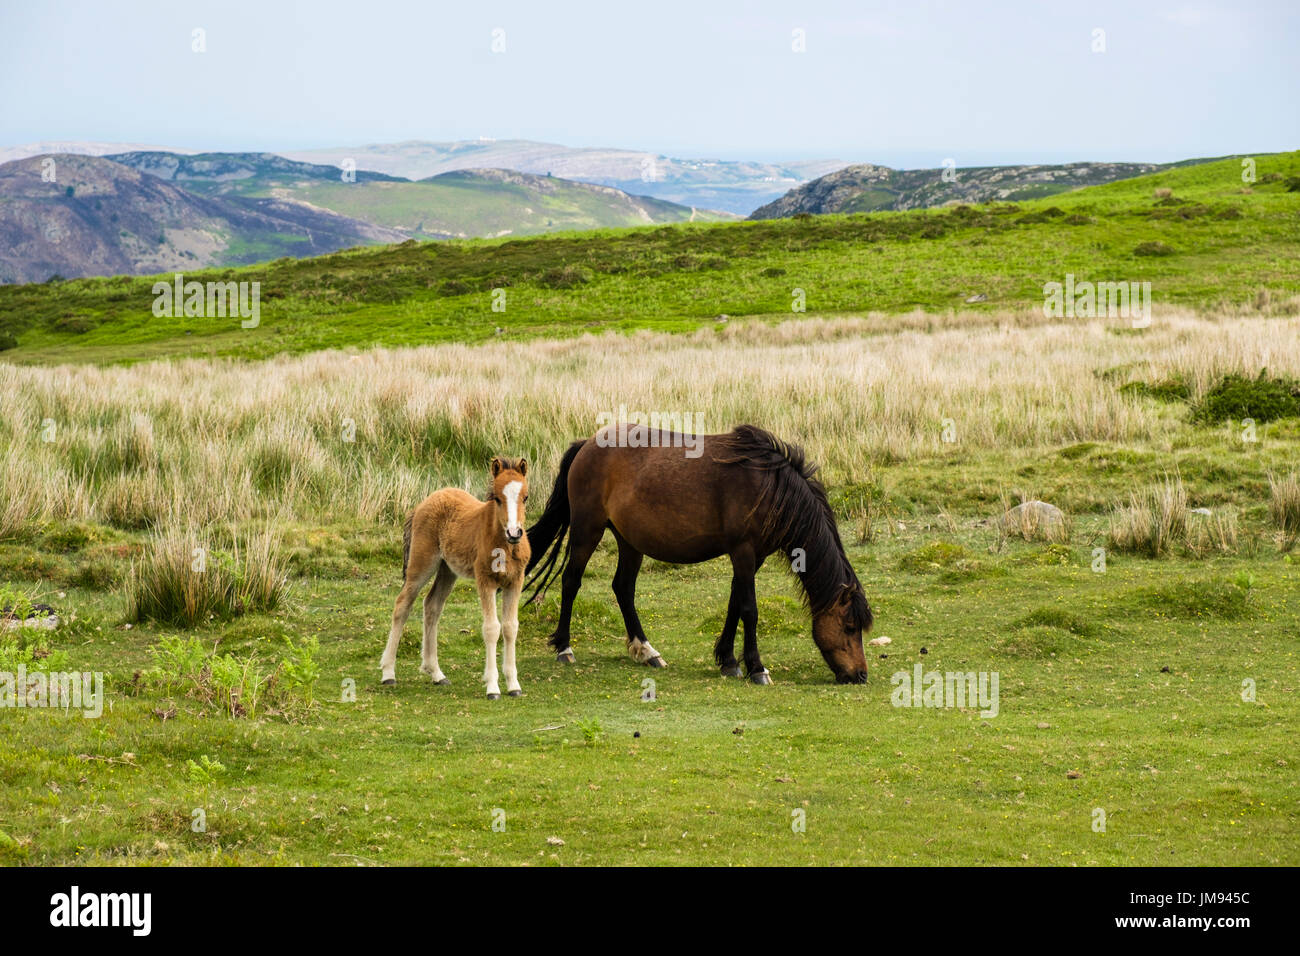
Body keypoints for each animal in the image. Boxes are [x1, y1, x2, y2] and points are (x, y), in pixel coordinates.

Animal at [380, 456, 531, 699]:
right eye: (497, 498)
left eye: (525, 497)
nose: (514, 533)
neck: (504, 545)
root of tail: (422, 504)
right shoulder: (485, 580)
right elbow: (491, 628)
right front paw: (492, 687)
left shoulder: (515, 581)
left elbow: (510, 627)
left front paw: (514, 685)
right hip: (422, 563)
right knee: (402, 604)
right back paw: (388, 673)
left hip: (447, 570)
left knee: (432, 605)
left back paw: (436, 674)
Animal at [525, 424, 872, 684]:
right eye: (850, 627)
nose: (860, 675)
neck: (769, 486)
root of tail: (587, 444)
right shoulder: (743, 551)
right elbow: (749, 609)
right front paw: (757, 668)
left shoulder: (753, 557)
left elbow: (734, 604)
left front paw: (728, 660)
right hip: (588, 530)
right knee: (571, 581)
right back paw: (564, 648)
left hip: (629, 541)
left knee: (623, 588)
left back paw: (647, 651)